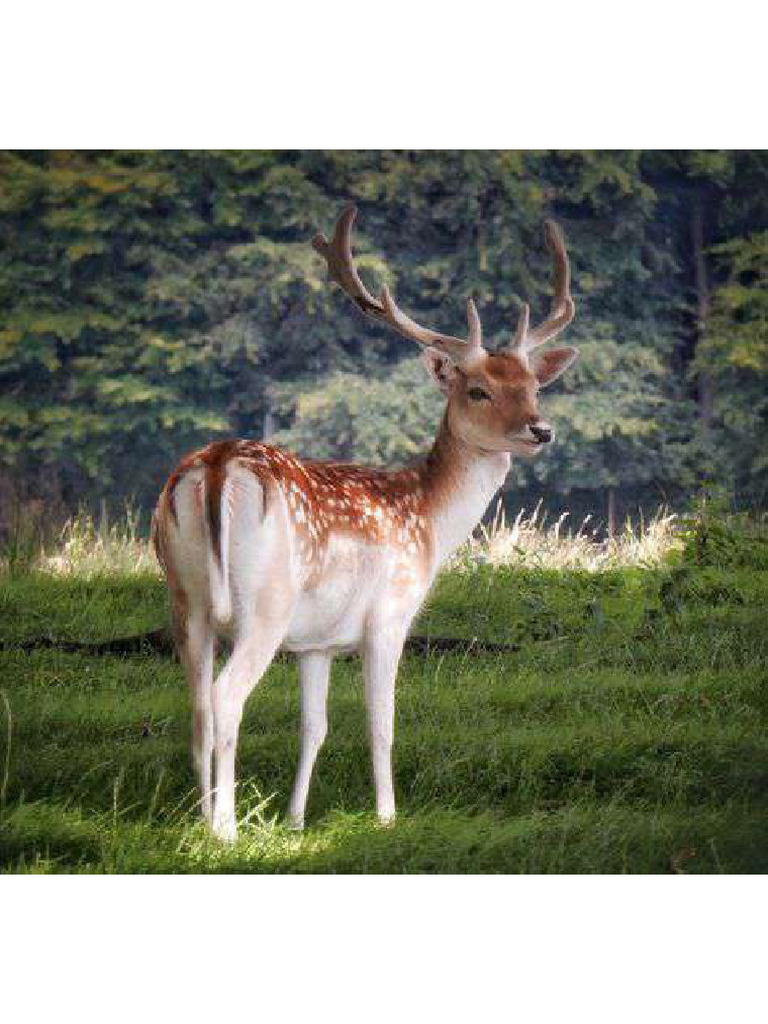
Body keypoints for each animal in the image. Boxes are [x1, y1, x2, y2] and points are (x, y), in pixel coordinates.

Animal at [152, 204, 578, 842]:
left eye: (532, 387)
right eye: (477, 390)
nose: (540, 429)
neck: (428, 519)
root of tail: (219, 465)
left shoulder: (316, 643)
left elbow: (315, 725)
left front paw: (296, 820)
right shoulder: (389, 616)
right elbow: (382, 723)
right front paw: (386, 816)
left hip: (186, 597)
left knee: (198, 703)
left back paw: (201, 820)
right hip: (265, 603)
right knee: (226, 697)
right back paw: (226, 829)